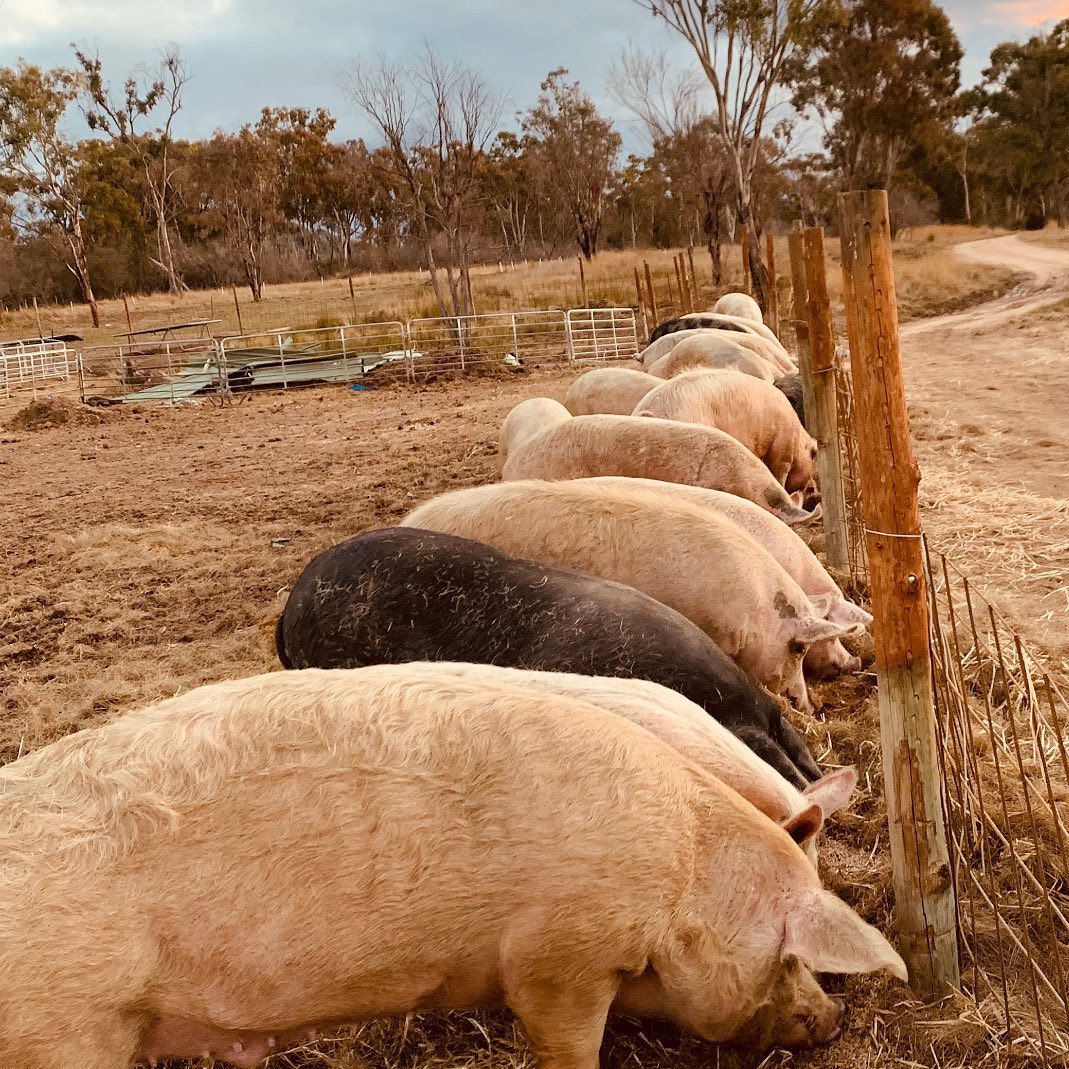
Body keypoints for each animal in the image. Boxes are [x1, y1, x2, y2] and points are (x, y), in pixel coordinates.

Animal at [0, 667, 905, 1069]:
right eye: (789, 957)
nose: (832, 1021)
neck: (682, 883)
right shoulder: (557, 958)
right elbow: (566, 1041)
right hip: (64, 1031)